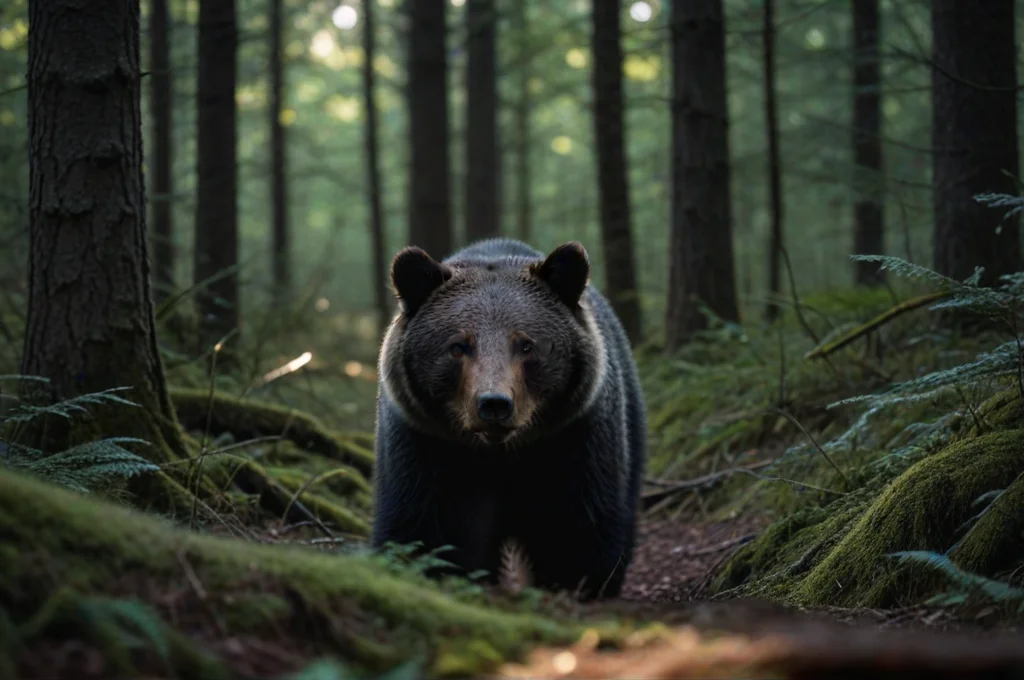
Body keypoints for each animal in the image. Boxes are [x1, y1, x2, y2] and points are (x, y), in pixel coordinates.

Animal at [370, 237, 646, 600]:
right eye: (458, 346)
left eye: (527, 345)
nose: (494, 404)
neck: (499, 455)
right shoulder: (424, 444)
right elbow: (417, 525)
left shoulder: (575, 438)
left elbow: (580, 525)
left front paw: (580, 581)